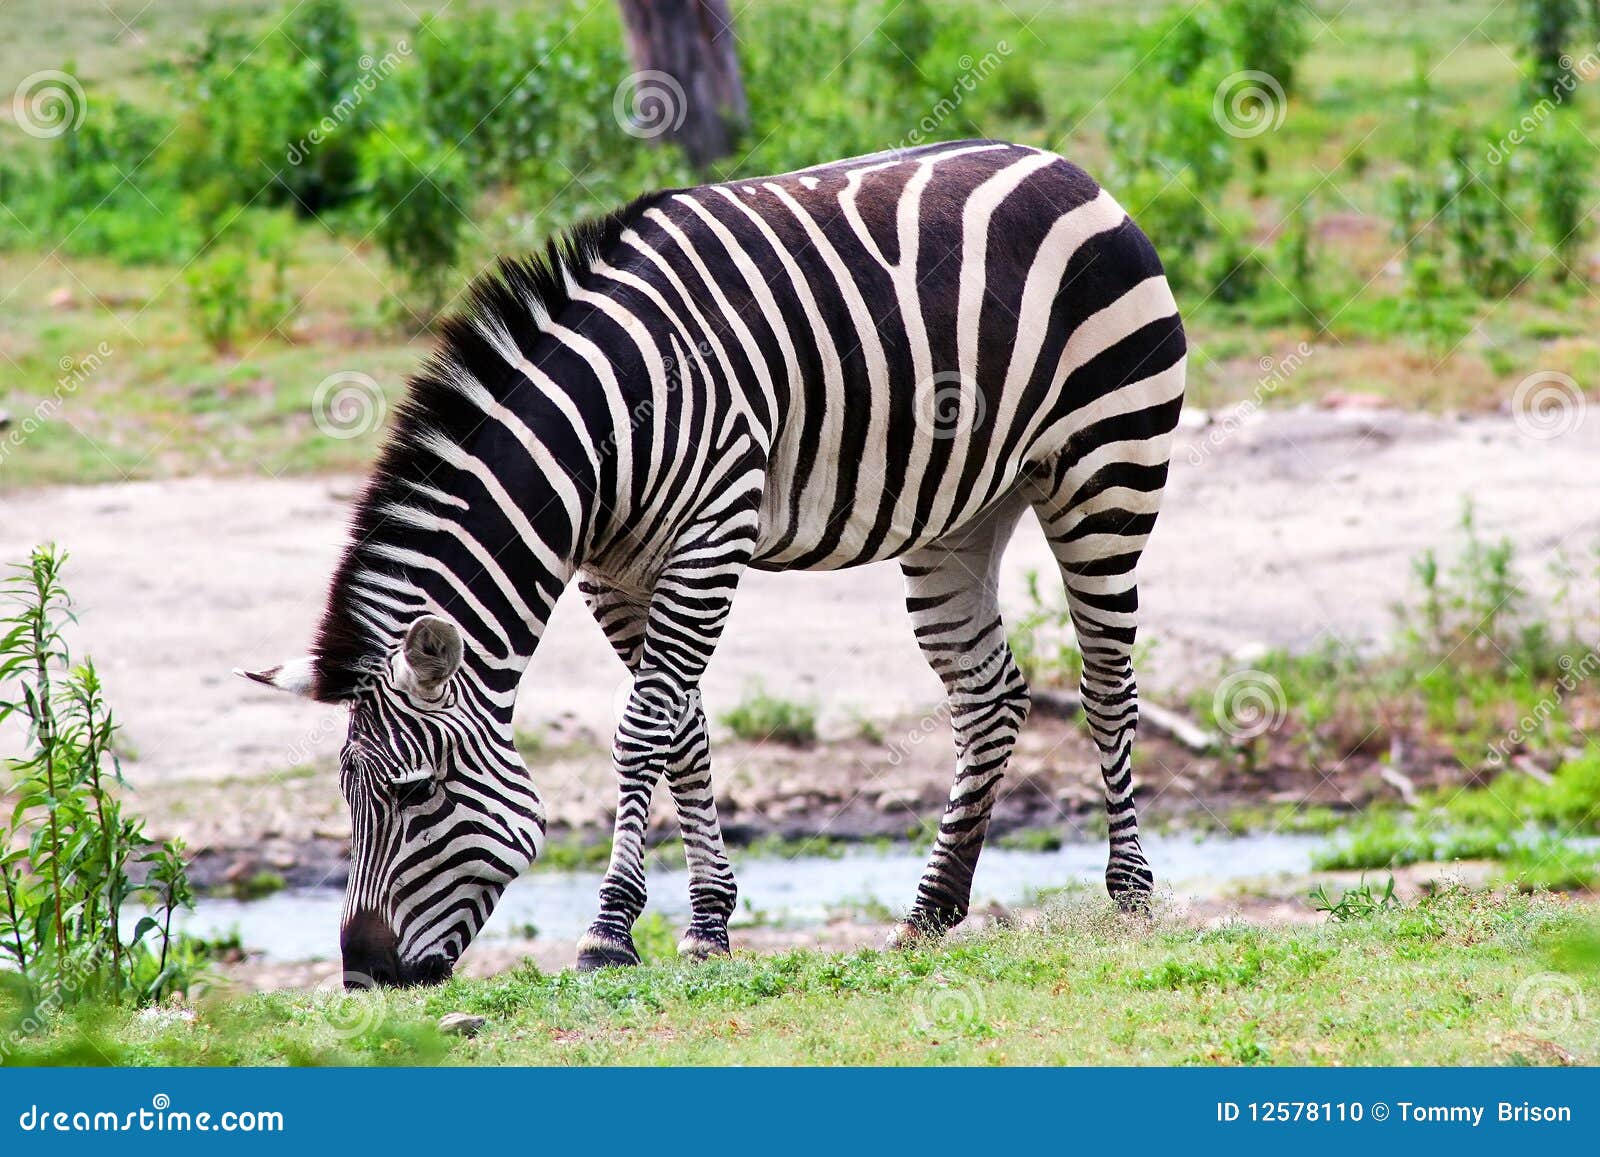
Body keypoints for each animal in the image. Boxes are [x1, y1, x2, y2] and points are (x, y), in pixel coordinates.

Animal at [240, 139, 1186, 986]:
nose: (363, 977)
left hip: (1107, 469)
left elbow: (641, 730)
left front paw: (609, 933)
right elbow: (685, 731)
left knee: (1108, 681)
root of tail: (1066, 167)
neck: (608, 421)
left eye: (416, 794)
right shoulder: (616, 571)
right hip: (958, 517)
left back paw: (1131, 896)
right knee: (990, 697)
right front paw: (706, 924)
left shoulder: (710, 534)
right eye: (347, 798)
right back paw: (928, 912)